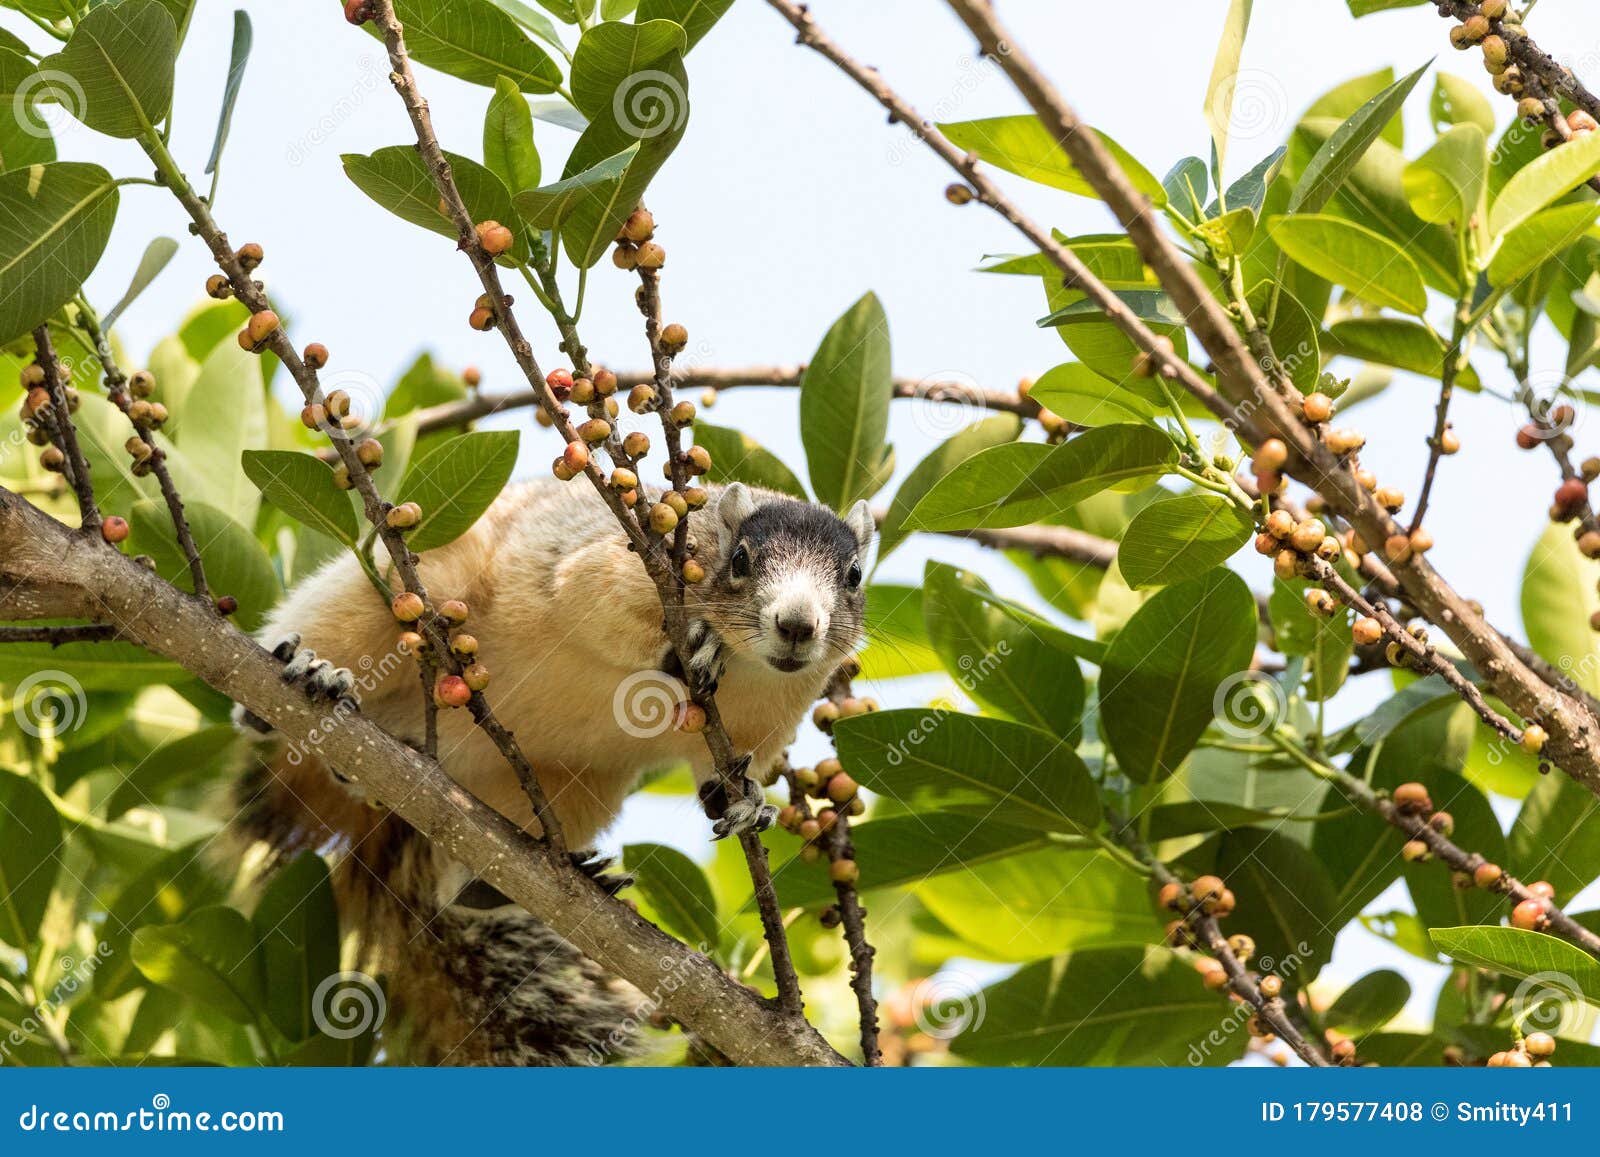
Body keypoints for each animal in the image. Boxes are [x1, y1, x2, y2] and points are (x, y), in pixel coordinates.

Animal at [229, 478, 873, 1064]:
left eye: (854, 575)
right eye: (740, 559)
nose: (798, 625)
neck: (750, 664)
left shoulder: (776, 708)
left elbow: (731, 768)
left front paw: (745, 800)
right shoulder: (630, 560)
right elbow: (588, 590)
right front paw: (693, 645)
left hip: (577, 785)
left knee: (469, 872)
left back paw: (511, 880)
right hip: (410, 583)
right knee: (348, 618)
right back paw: (308, 671)